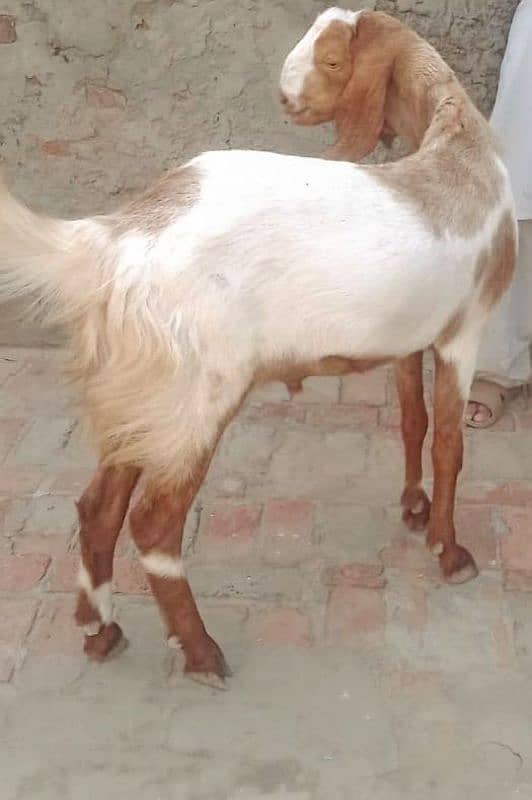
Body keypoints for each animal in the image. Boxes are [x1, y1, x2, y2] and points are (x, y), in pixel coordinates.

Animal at [0, 7, 516, 688]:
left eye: (332, 60)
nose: (285, 99)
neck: (456, 149)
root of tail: (118, 235)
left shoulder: (412, 335)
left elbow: (413, 421)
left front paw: (413, 507)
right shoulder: (464, 331)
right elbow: (451, 445)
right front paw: (450, 552)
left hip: (144, 395)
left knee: (97, 508)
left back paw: (99, 629)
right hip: (197, 394)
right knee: (153, 522)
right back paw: (200, 652)